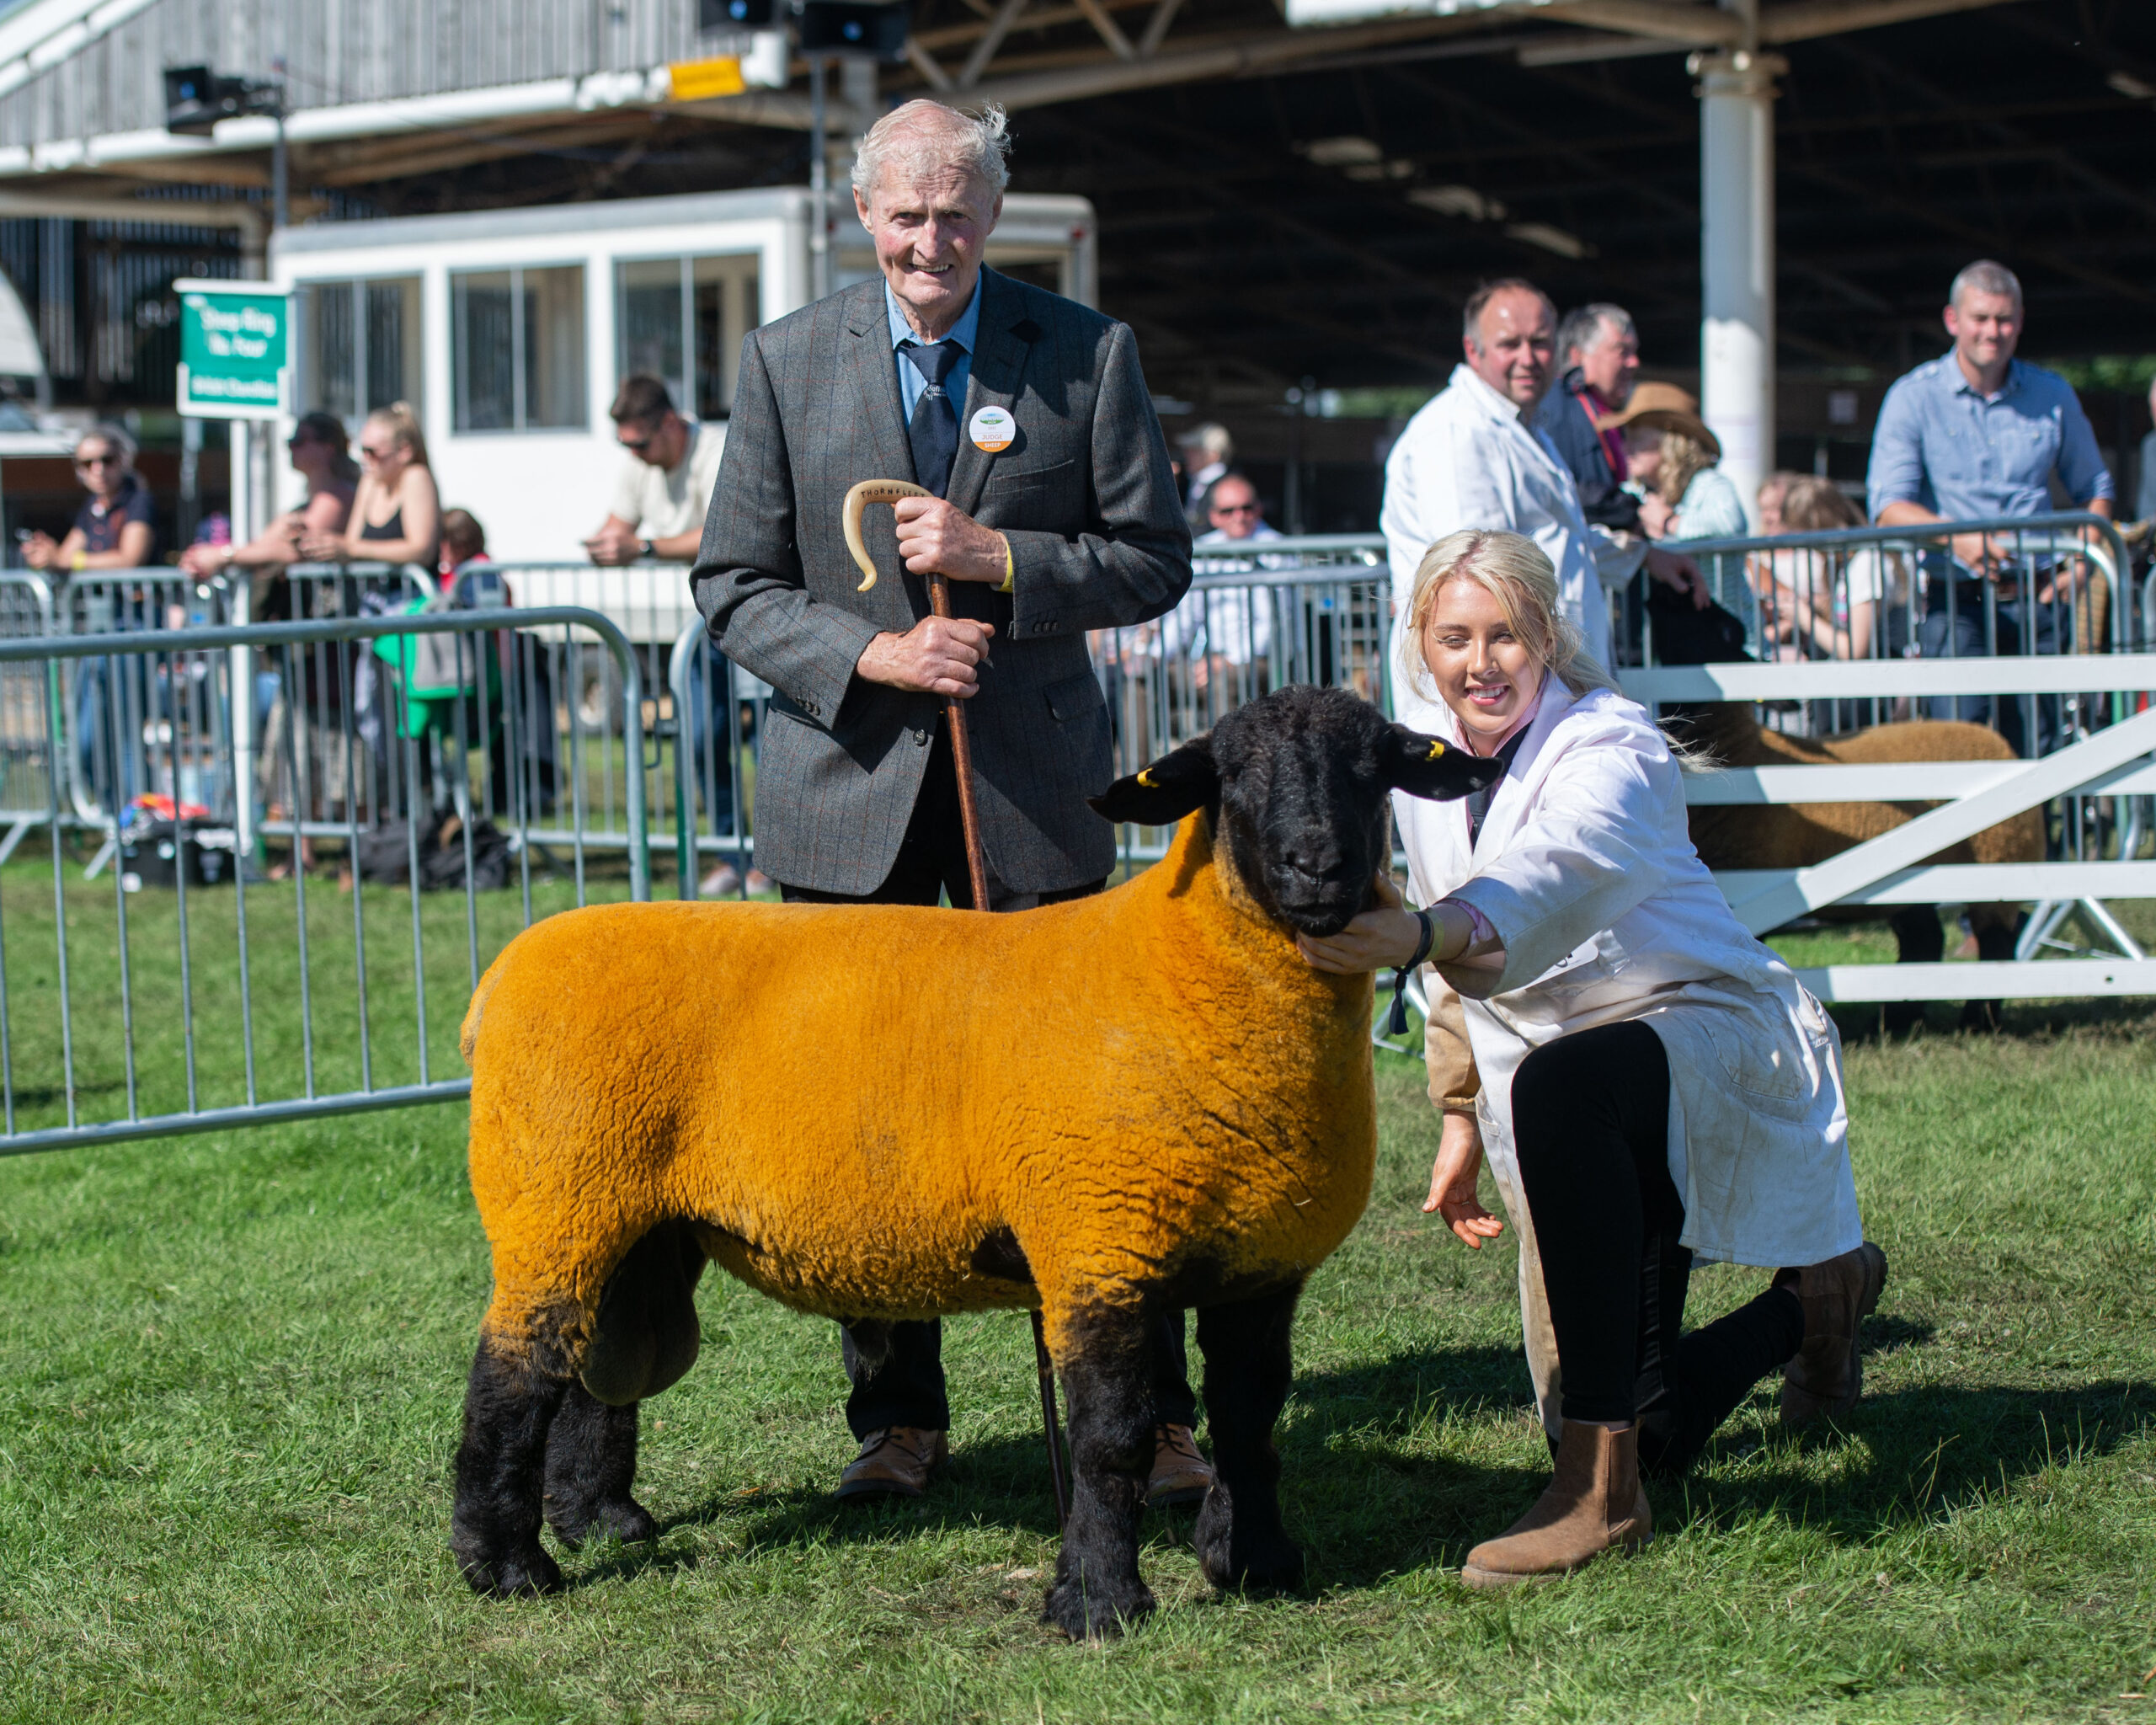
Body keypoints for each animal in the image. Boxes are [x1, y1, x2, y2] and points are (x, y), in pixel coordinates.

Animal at [448, 684, 1501, 1640]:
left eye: (1374, 768)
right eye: (1231, 776)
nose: (1317, 864)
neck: (1184, 968)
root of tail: (502, 975)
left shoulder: (1261, 1263)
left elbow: (1249, 1416)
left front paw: (1256, 1562)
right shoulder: (1097, 1246)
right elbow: (1109, 1440)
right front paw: (1096, 1601)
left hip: (630, 1221)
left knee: (581, 1368)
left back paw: (601, 1520)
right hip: (552, 1195)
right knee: (512, 1371)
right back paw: (508, 1566)